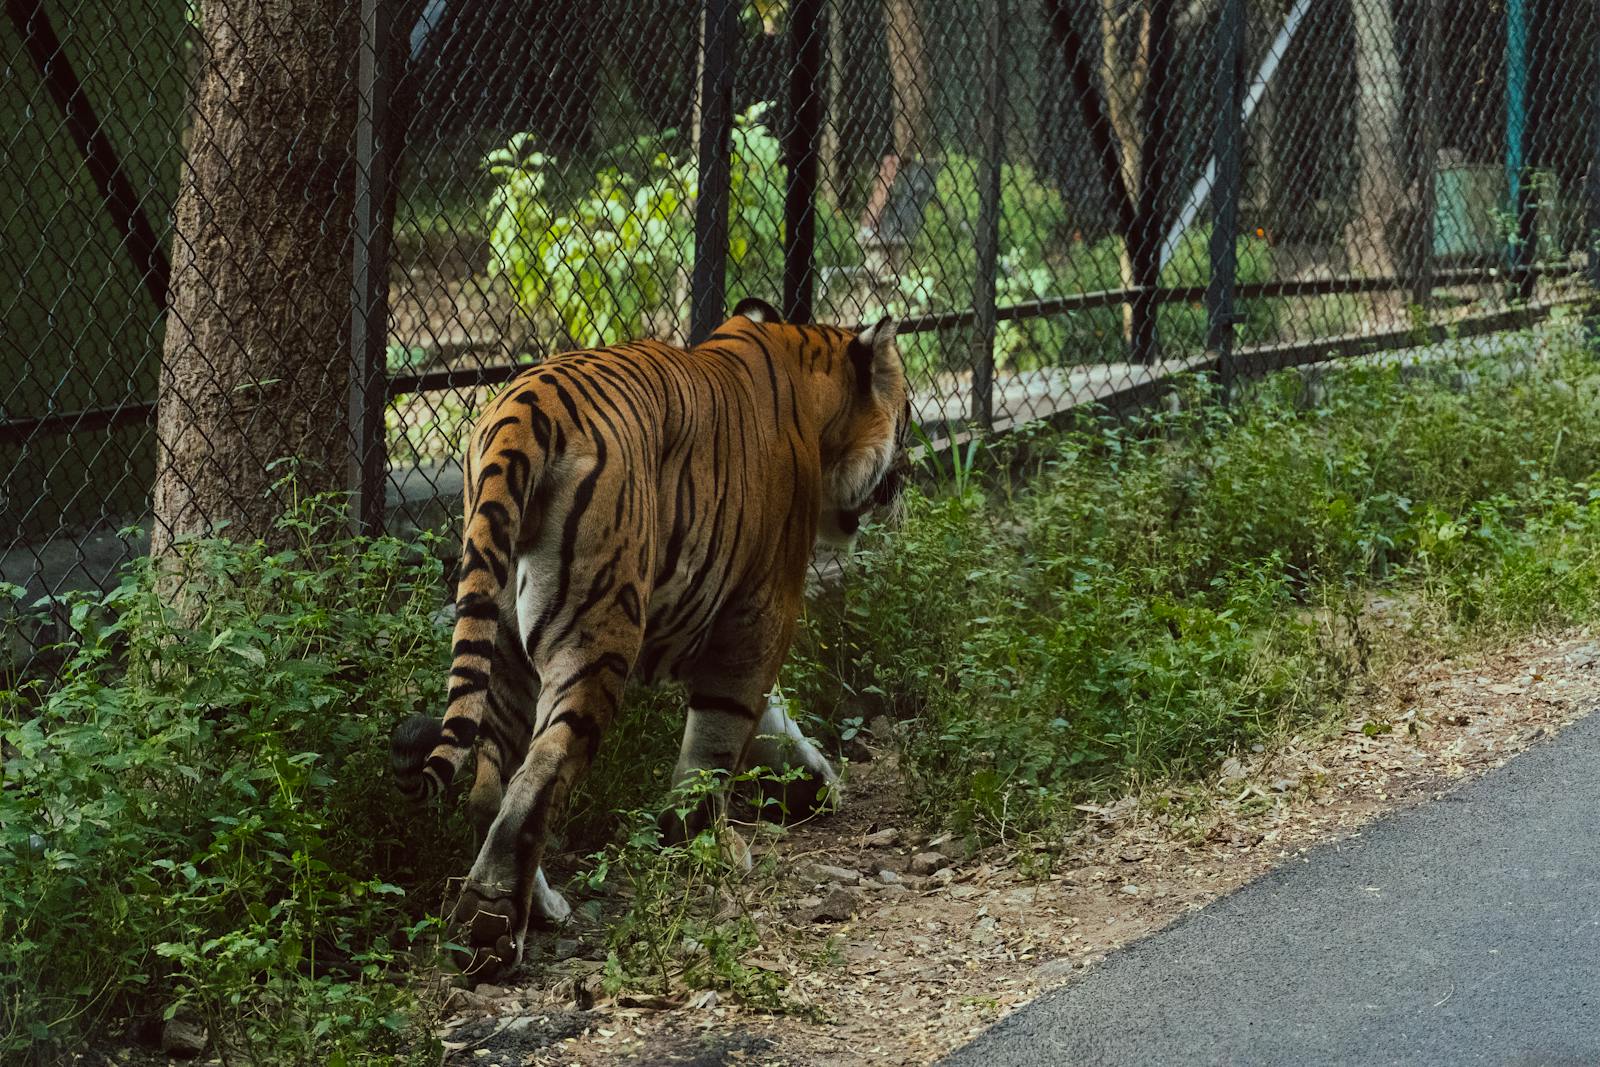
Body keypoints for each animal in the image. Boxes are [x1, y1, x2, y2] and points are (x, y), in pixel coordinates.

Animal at [391, 297, 912, 979]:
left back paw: (536, 906)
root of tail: (522, 409)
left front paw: (813, 785)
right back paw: (493, 928)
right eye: (908, 415)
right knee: (541, 769)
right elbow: (722, 733)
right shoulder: (761, 610)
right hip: (597, 637)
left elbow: (771, 718)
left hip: (501, 639)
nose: (906, 477)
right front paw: (704, 840)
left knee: (490, 784)